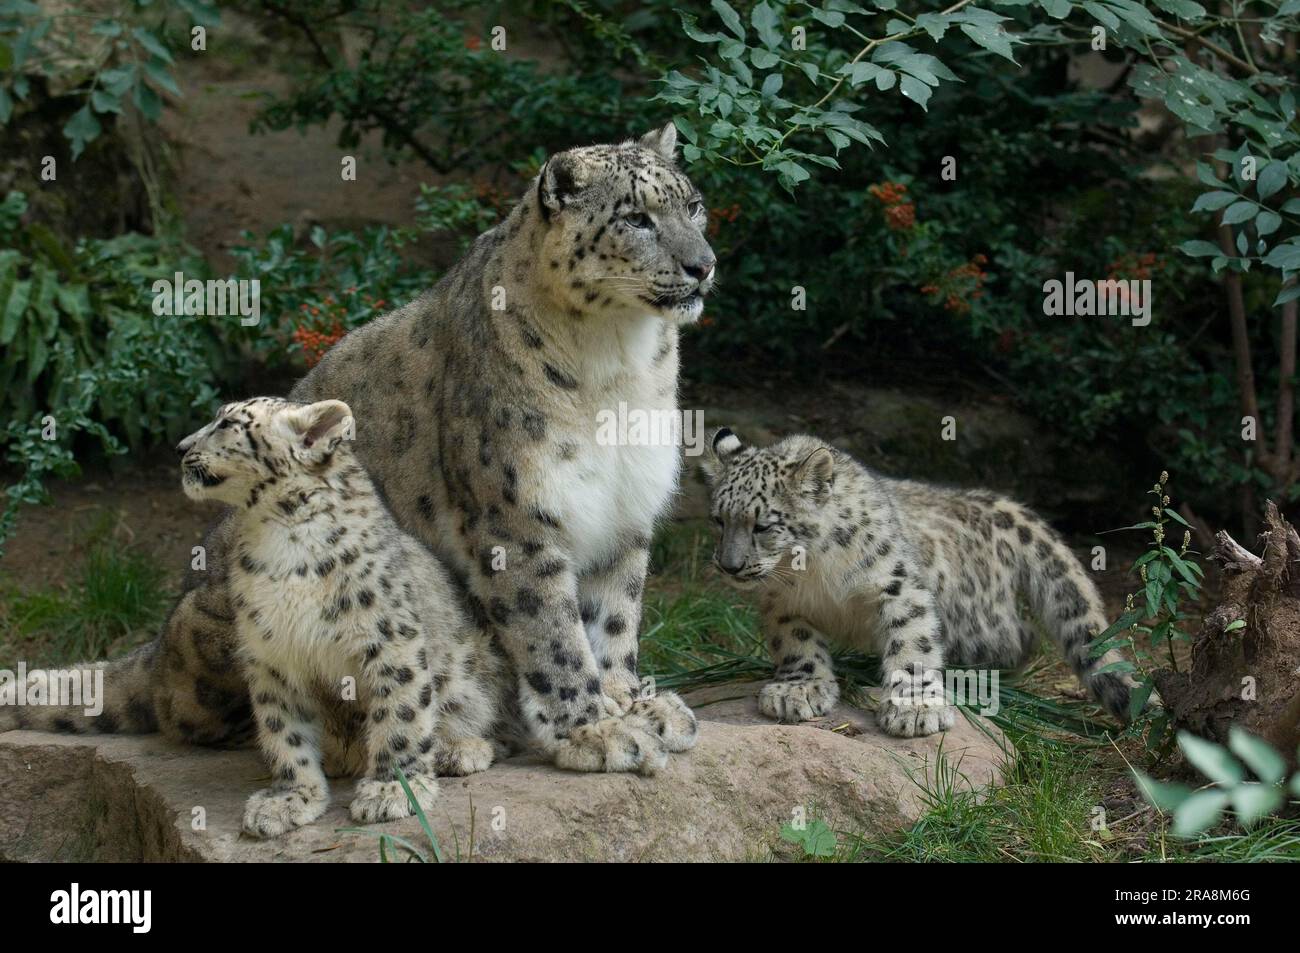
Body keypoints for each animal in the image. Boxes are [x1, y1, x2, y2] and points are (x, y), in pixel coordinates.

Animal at [2, 124, 704, 776]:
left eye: (693, 205)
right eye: (636, 218)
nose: (704, 264)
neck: (617, 364)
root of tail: (156, 647)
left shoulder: (625, 508)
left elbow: (613, 621)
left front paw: (632, 703)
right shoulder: (518, 517)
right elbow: (554, 633)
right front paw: (595, 730)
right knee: (223, 717)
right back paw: (451, 745)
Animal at [177, 397, 506, 835]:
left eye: (228, 424)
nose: (180, 448)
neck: (278, 536)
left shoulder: (388, 640)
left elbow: (400, 714)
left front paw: (391, 790)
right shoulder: (271, 654)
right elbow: (283, 729)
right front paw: (287, 799)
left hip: (467, 668)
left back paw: (458, 750)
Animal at [702, 428, 1135, 737]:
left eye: (763, 525)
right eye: (719, 519)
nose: (729, 566)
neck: (811, 571)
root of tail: (995, 504)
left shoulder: (897, 585)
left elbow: (912, 642)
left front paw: (913, 708)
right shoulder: (782, 603)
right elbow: (795, 643)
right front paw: (798, 689)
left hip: (976, 625)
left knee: (1023, 636)